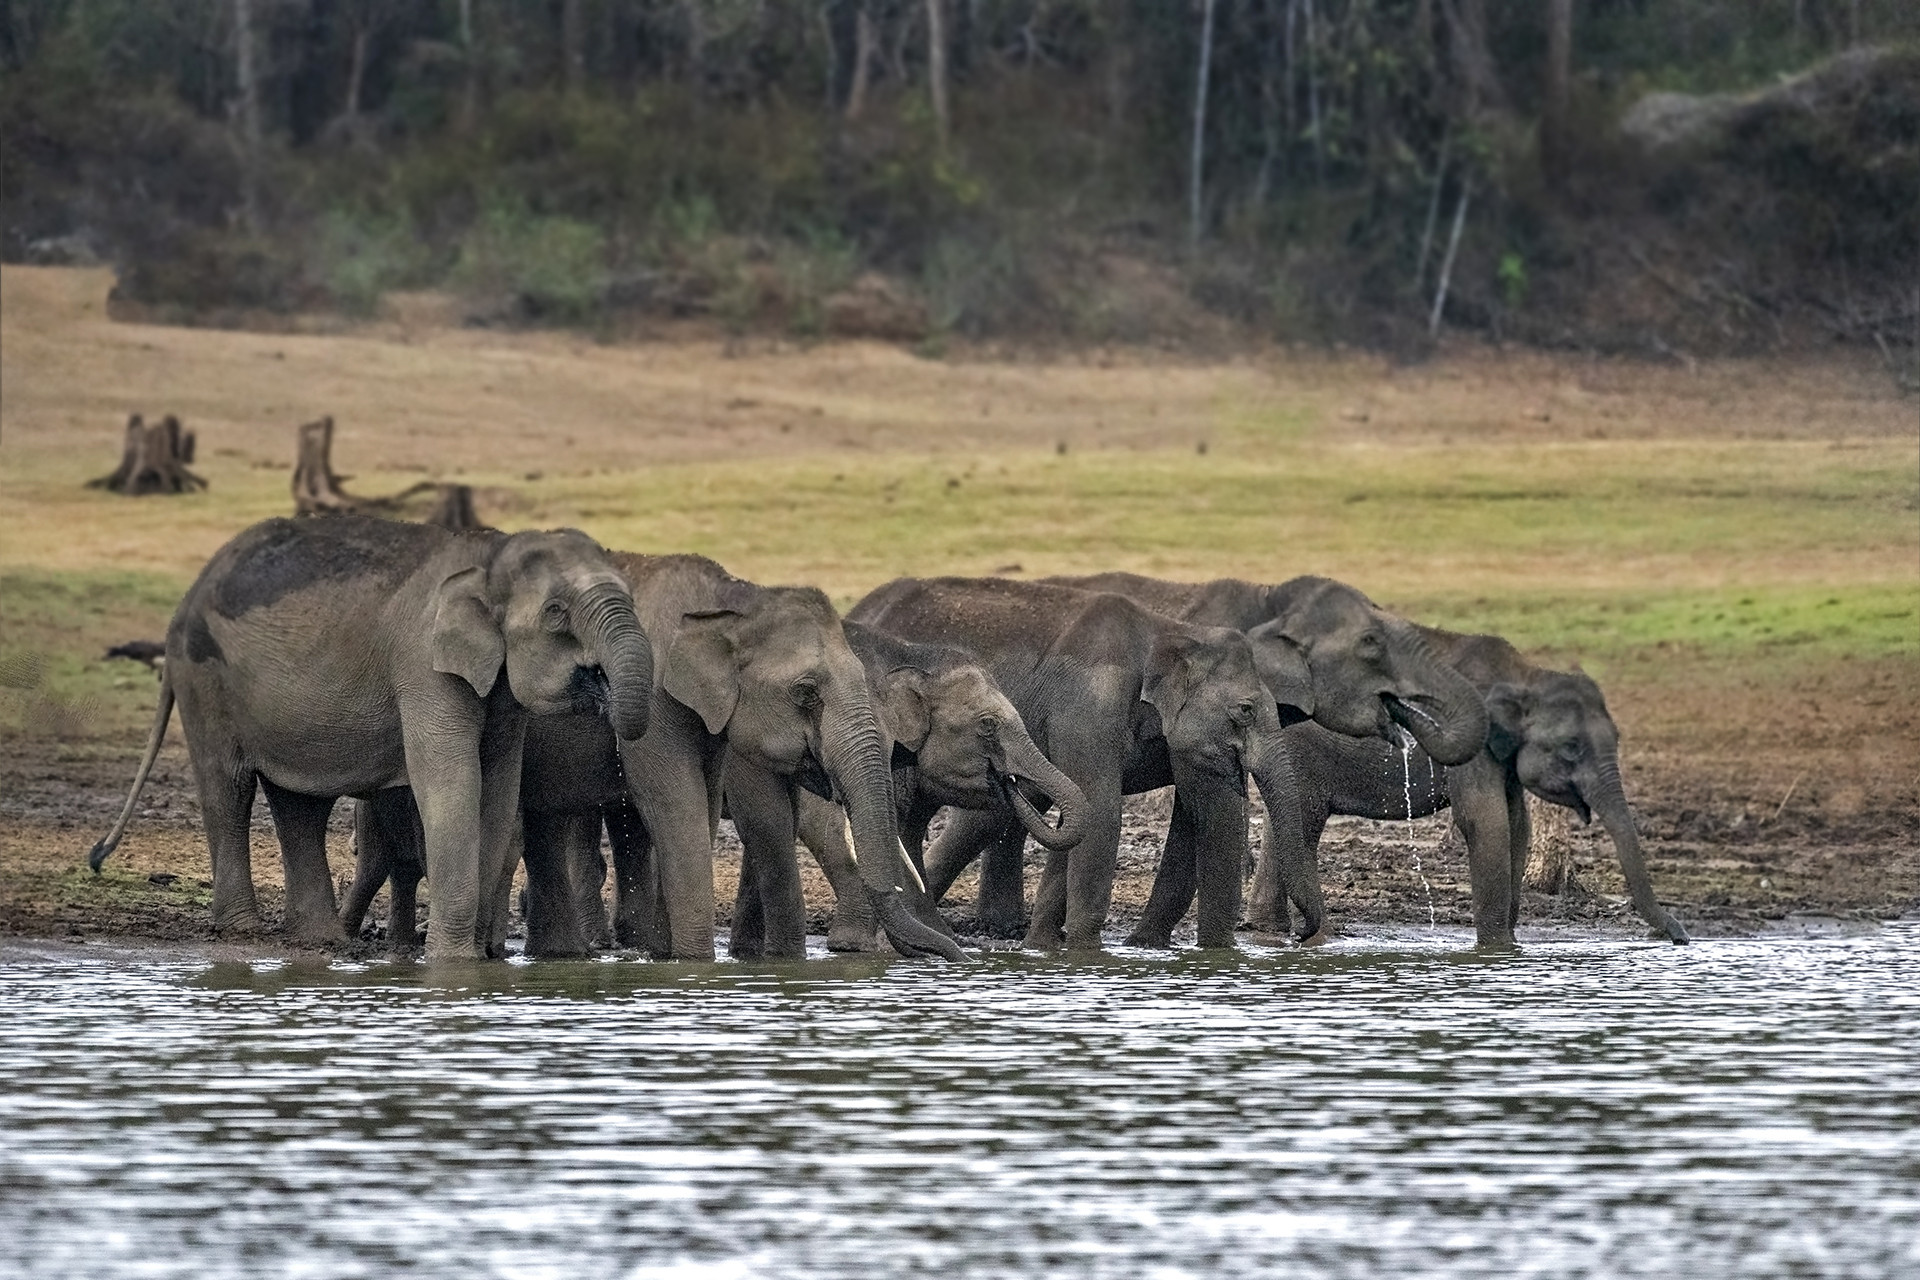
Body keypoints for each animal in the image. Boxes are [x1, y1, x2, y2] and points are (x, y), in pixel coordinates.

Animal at [88, 516, 654, 960]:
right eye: (557, 612)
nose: (602, 686)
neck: (491, 555)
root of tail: (186, 599)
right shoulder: (420, 665)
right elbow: (452, 782)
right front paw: (452, 962)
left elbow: (496, 790)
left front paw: (476, 958)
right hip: (204, 677)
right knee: (228, 788)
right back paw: (244, 933)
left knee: (298, 802)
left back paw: (320, 942)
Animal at [849, 577, 1313, 950]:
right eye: (1245, 711)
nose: (1304, 936)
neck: (1169, 630)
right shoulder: (1088, 707)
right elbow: (1102, 813)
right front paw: (1087, 954)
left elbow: (1196, 812)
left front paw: (1049, 948)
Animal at [1135, 627, 1691, 949]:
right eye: (1572, 748)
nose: (1680, 935)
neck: (1524, 675)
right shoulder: (1477, 747)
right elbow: (1486, 821)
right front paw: (1495, 951)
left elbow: (1517, 825)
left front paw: (1512, 946)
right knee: (1303, 823)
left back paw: (1282, 935)